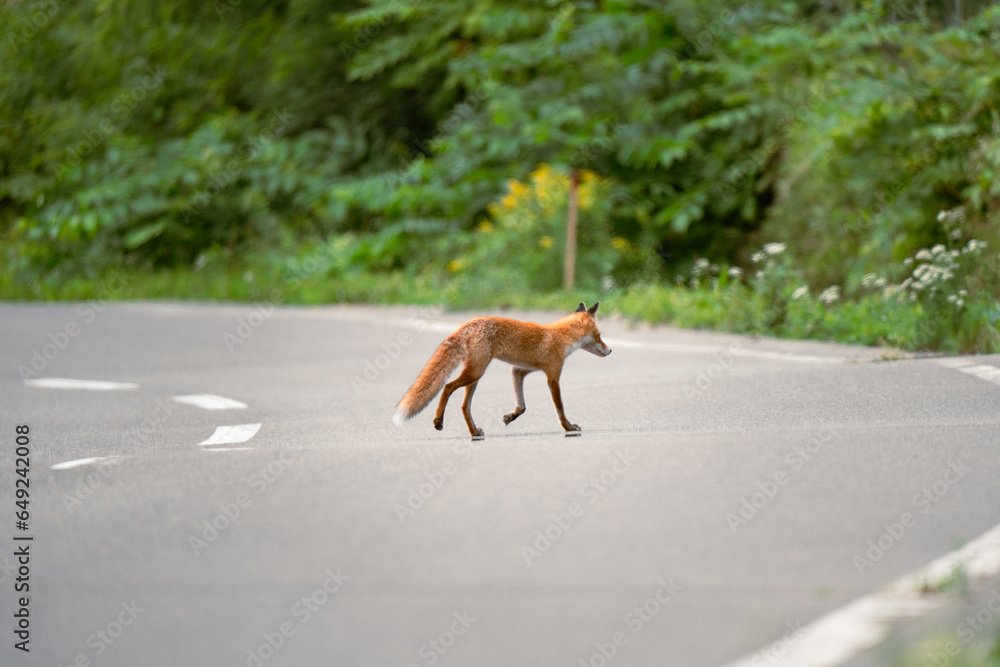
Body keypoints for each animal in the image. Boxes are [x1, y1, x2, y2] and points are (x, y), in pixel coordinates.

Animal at [392, 301, 612, 436]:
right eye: (599, 335)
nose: (610, 350)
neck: (560, 337)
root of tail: (468, 323)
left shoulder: (518, 370)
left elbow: (521, 406)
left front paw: (510, 417)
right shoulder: (552, 377)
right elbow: (560, 409)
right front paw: (569, 427)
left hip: (475, 377)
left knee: (464, 406)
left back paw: (474, 432)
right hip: (475, 372)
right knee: (447, 387)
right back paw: (438, 420)